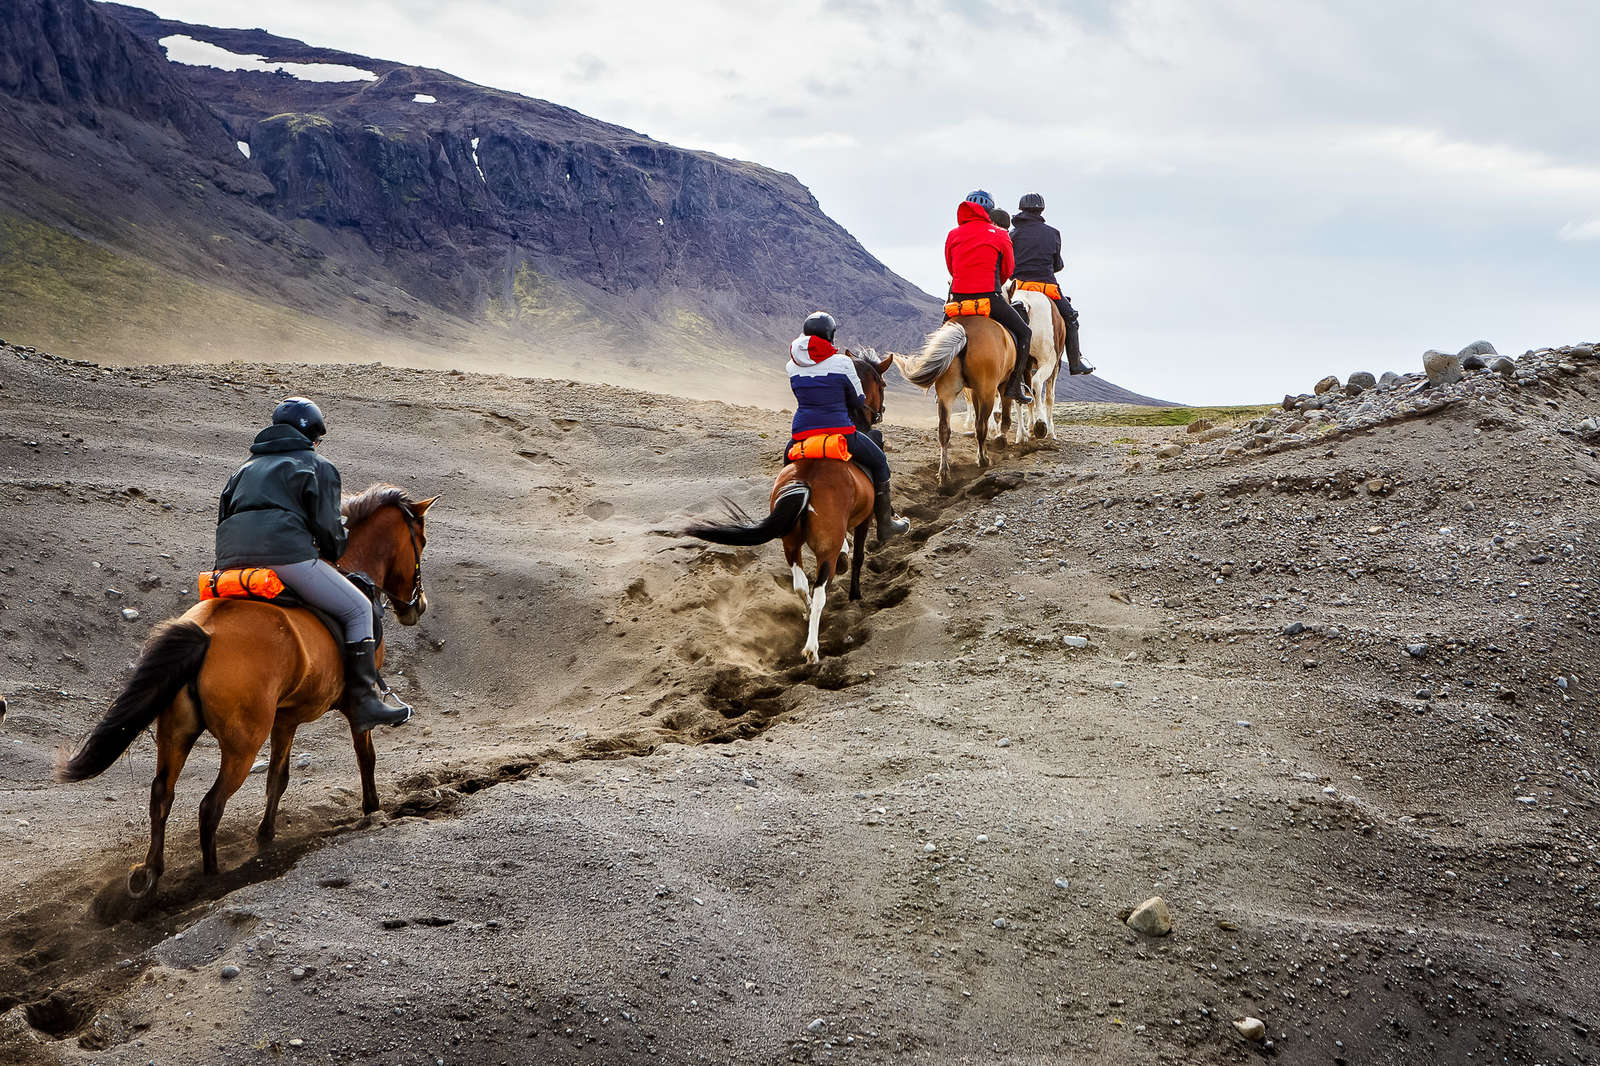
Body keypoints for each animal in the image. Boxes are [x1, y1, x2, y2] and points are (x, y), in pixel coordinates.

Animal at [57, 485, 438, 898]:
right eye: (420, 541)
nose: (418, 606)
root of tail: (205, 634)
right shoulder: (354, 709)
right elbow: (365, 757)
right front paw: (372, 808)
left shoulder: (285, 717)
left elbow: (277, 778)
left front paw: (266, 836)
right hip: (242, 744)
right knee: (210, 806)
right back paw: (212, 876)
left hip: (176, 732)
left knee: (162, 795)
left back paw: (151, 874)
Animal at [685, 351, 893, 664]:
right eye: (882, 384)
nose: (880, 411)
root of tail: (807, 479)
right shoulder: (864, 518)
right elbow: (857, 557)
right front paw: (855, 593)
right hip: (824, 549)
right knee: (818, 590)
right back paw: (811, 648)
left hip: (790, 543)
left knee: (800, 585)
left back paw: (805, 614)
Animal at [901, 312, 1016, 484]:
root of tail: (964, 333)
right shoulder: (1004, 382)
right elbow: (1005, 414)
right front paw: (1001, 439)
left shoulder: (973, 391)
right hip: (987, 390)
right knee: (981, 426)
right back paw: (983, 460)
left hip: (946, 391)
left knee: (944, 430)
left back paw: (944, 474)